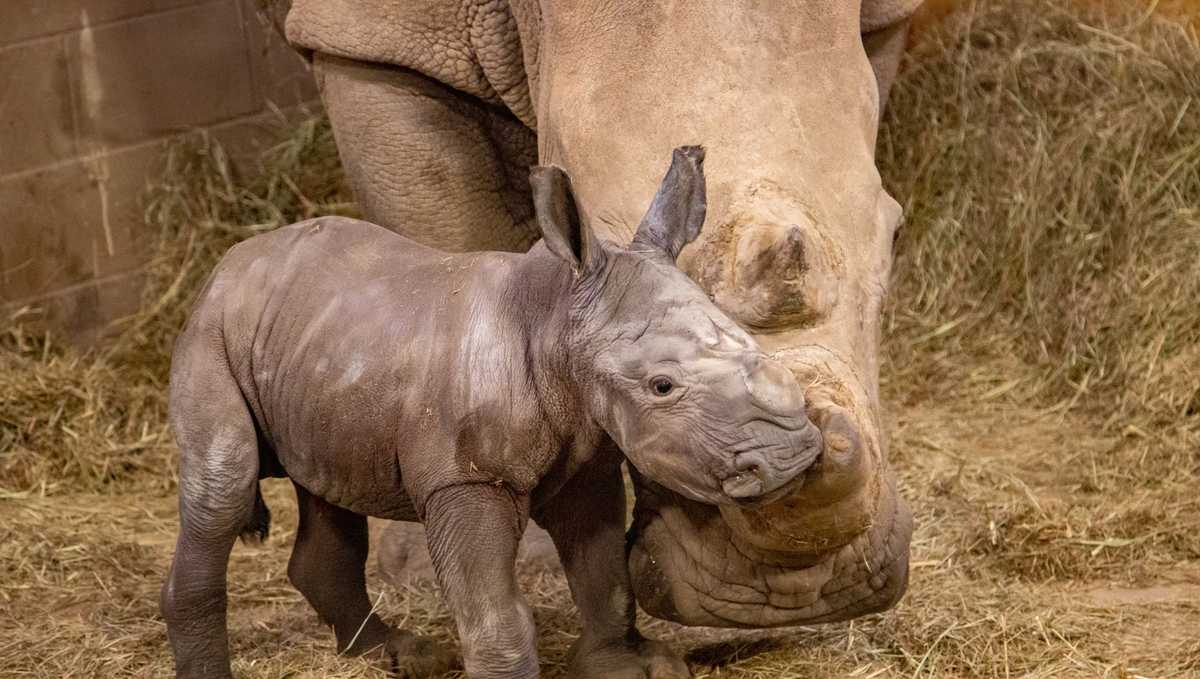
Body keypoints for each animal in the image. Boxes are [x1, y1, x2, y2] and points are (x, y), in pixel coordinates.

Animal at [162, 148, 831, 677]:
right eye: (662, 387)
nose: (792, 455)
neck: (558, 317)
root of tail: (227, 265)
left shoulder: (584, 456)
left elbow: (603, 573)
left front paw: (625, 666)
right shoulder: (464, 478)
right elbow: (495, 613)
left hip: (319, 349)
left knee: (327, 488)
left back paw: (405, 656)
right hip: (211, 336)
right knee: (223, 486)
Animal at [262, 0, 917, 652]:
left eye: (894, 236)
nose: (788, 598)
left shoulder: (883, 21)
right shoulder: (374, 36)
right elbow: (442, 227)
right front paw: (466, 558)